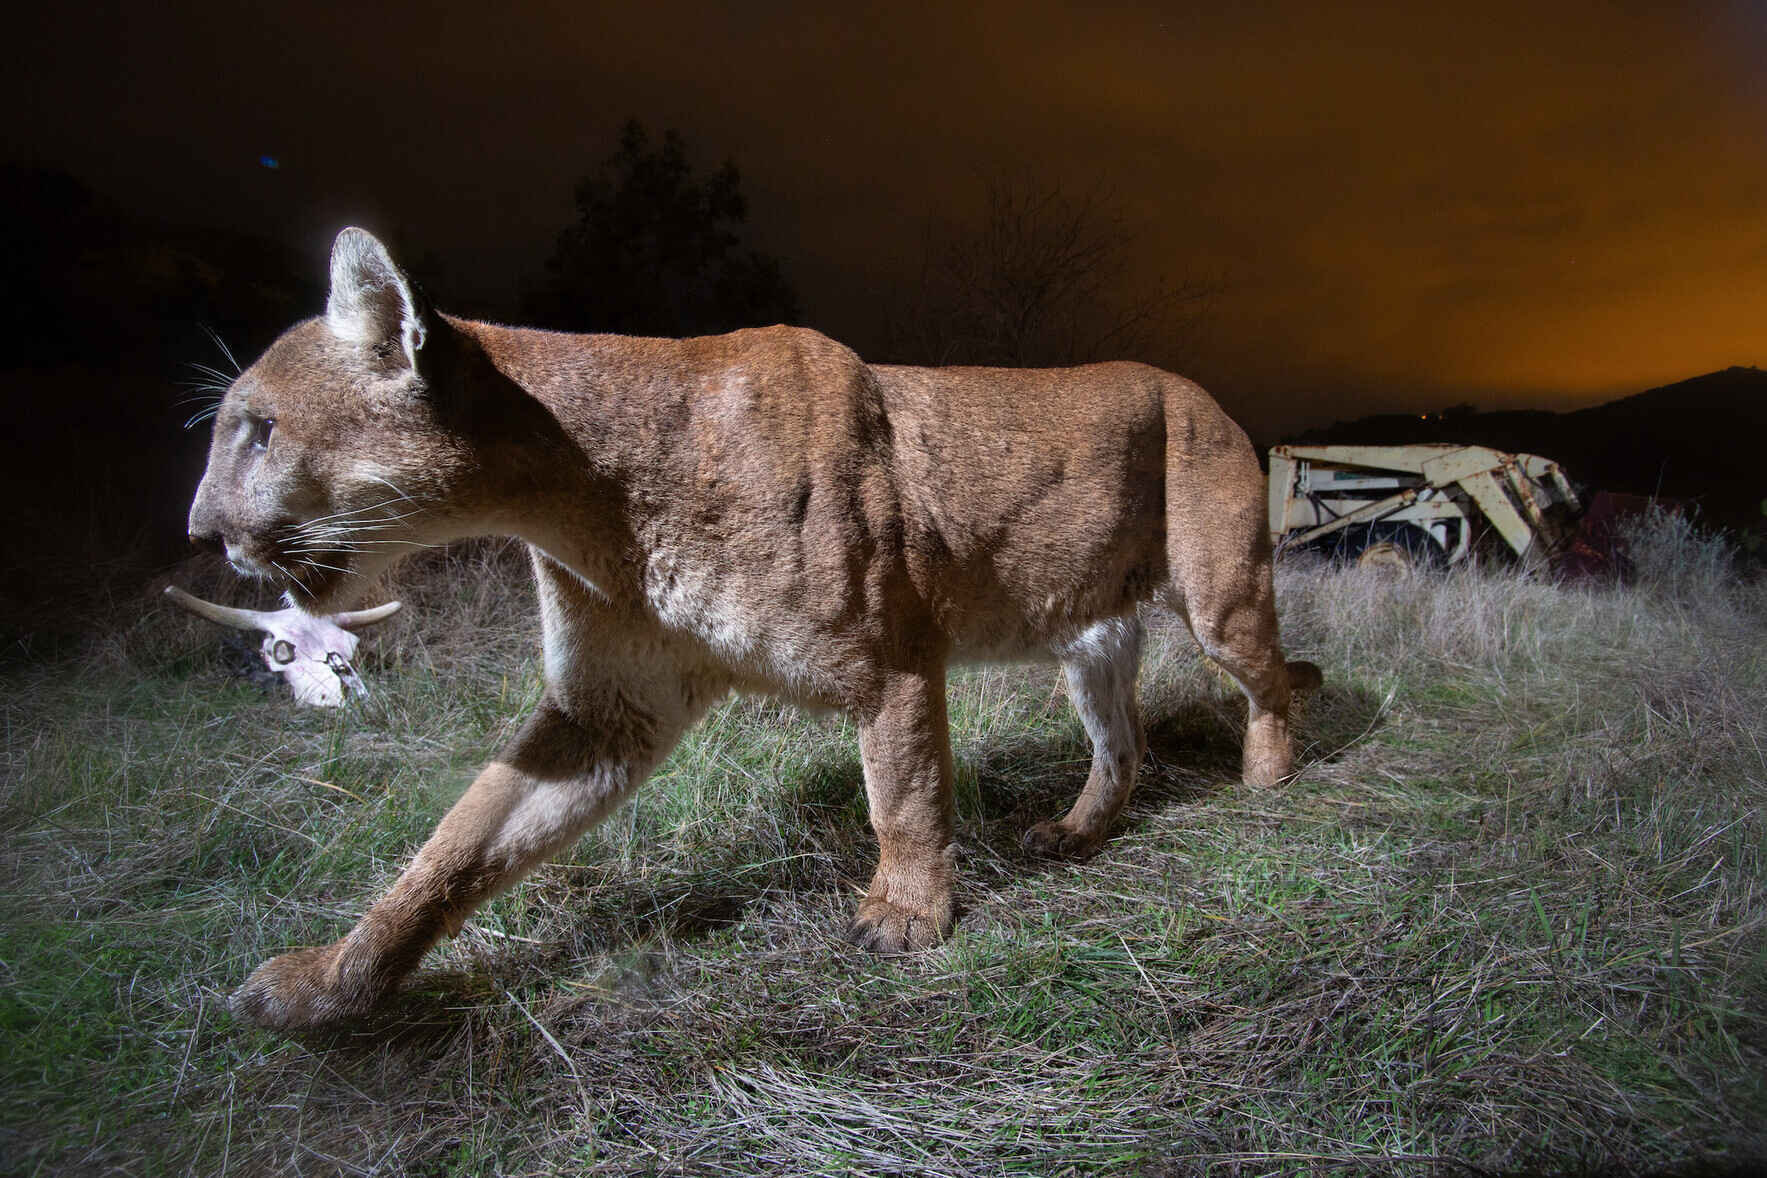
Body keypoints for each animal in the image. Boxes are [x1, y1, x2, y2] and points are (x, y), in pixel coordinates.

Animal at [187, 228, 1321, 1030]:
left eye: (259, 428)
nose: (200, 531)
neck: (575, 497)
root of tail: (1210, 396)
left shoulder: (890, 659)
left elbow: (903, 794)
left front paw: (906, 916)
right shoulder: (606, 709)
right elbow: (453, 850)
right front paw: (331, 985)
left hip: (1218, 592)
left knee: (1270, 678)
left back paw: (1267, 777)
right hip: (1089, 638)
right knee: (1122, 743)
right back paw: (1076, 829)